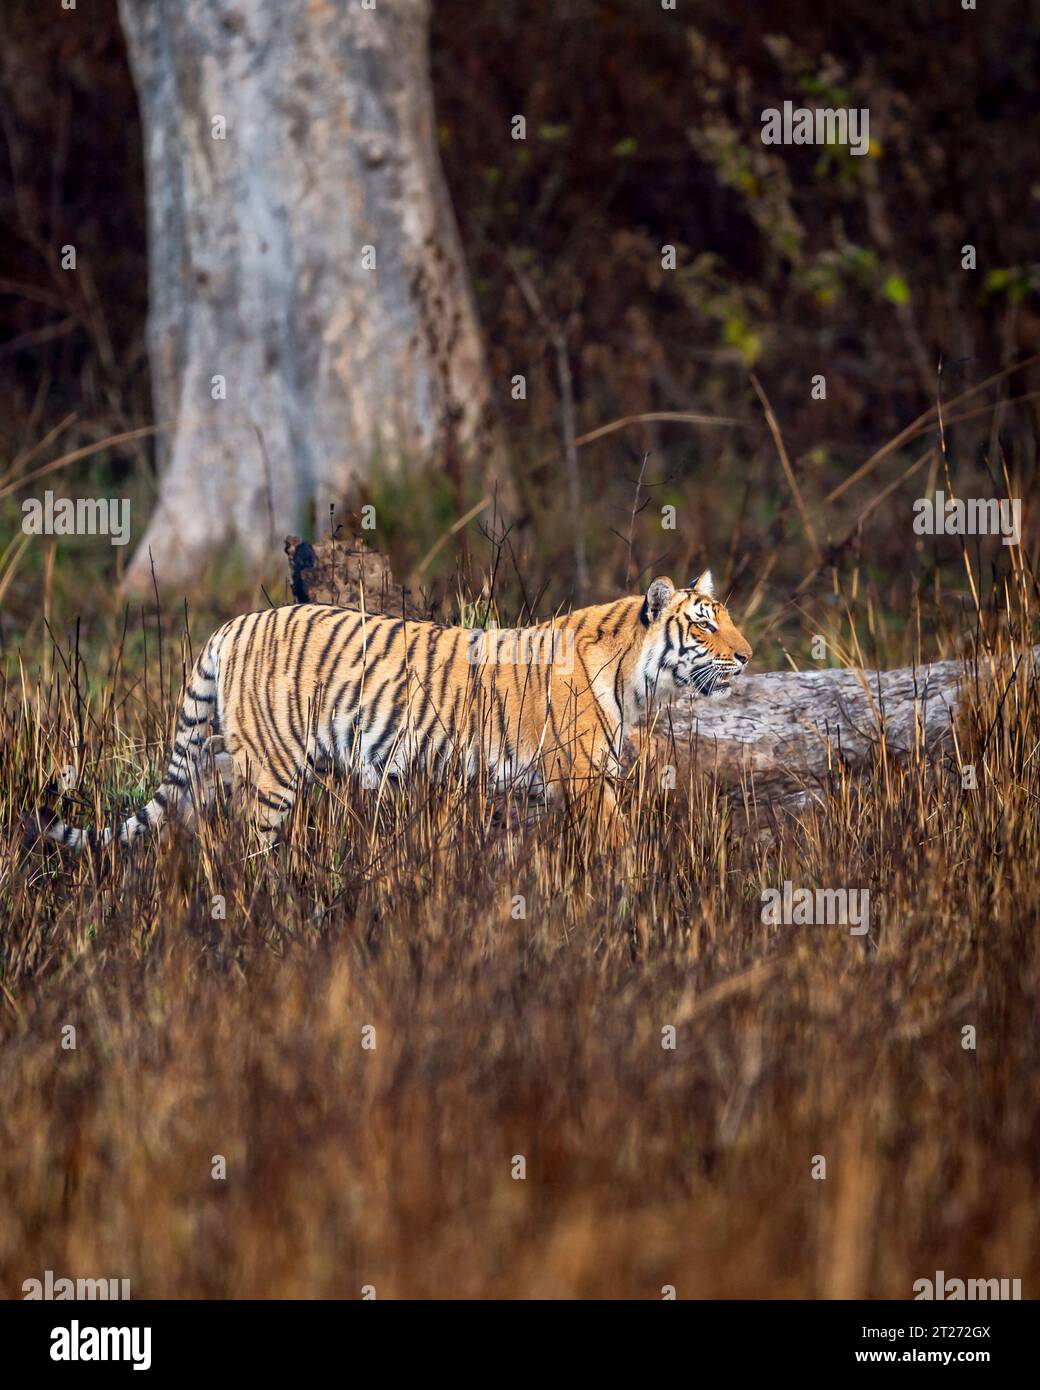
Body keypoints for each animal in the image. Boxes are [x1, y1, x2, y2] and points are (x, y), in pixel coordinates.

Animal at [31, 570, 752, 851]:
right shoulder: (582, 778)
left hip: (222, 762)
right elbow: (620, 842)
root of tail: (231, 625)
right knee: (249, 847)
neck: (634, 679)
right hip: (270, 772)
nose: (747, 656)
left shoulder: (542, 788)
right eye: (705, 624)